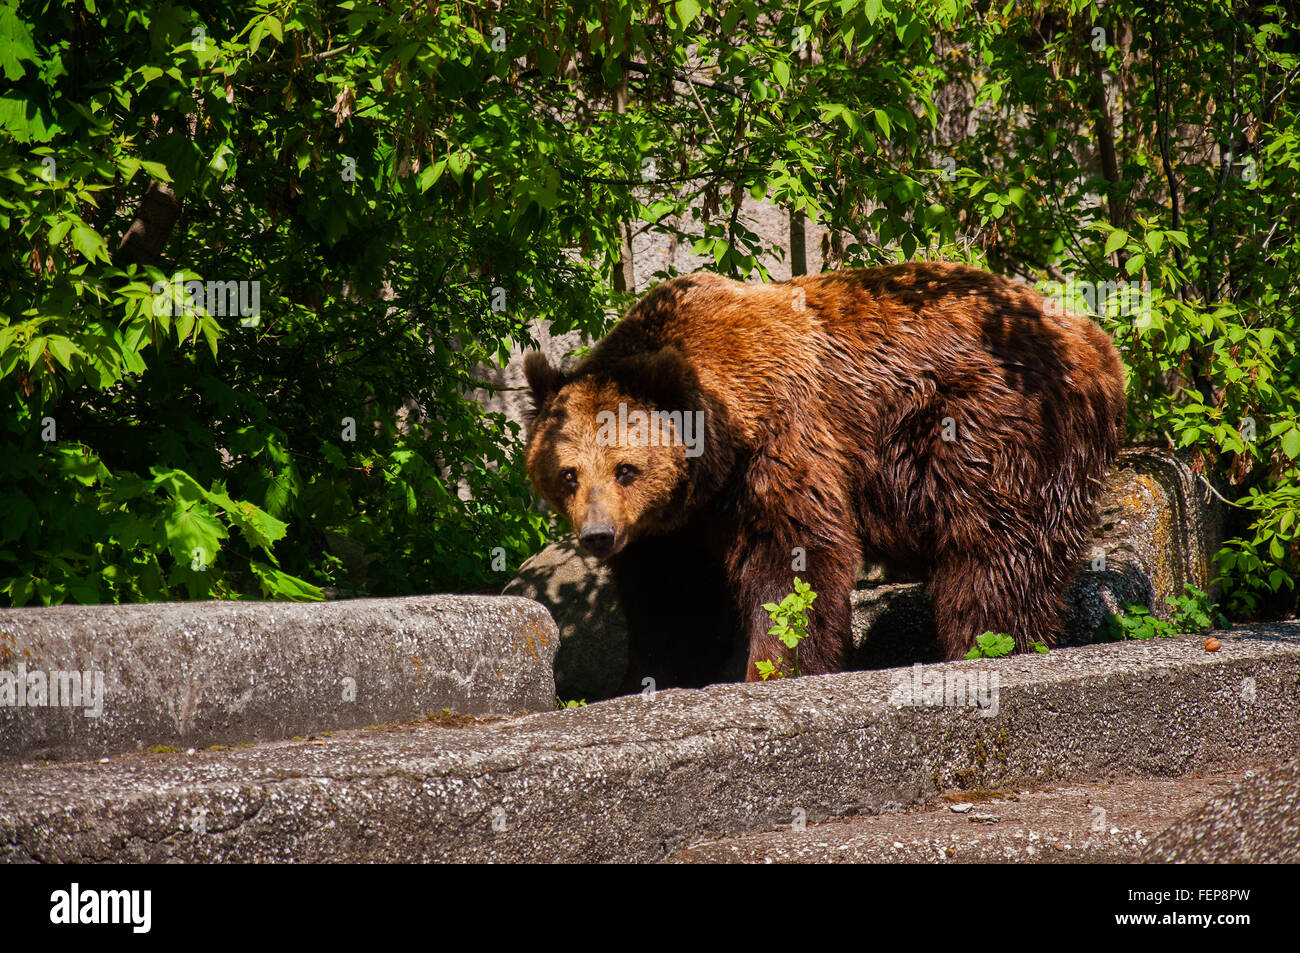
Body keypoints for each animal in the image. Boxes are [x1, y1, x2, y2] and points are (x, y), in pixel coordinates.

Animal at [523, 261, 1126, 687]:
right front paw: (649, 678)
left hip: (989, 421)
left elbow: (794, 558)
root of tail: (1094, 339)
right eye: (569, 474)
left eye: (626, 468)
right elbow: (671, 599)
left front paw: (775, 666)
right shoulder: (671, 528)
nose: (598, 535)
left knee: (993, 546)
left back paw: (986, 642)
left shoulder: (782, 442)